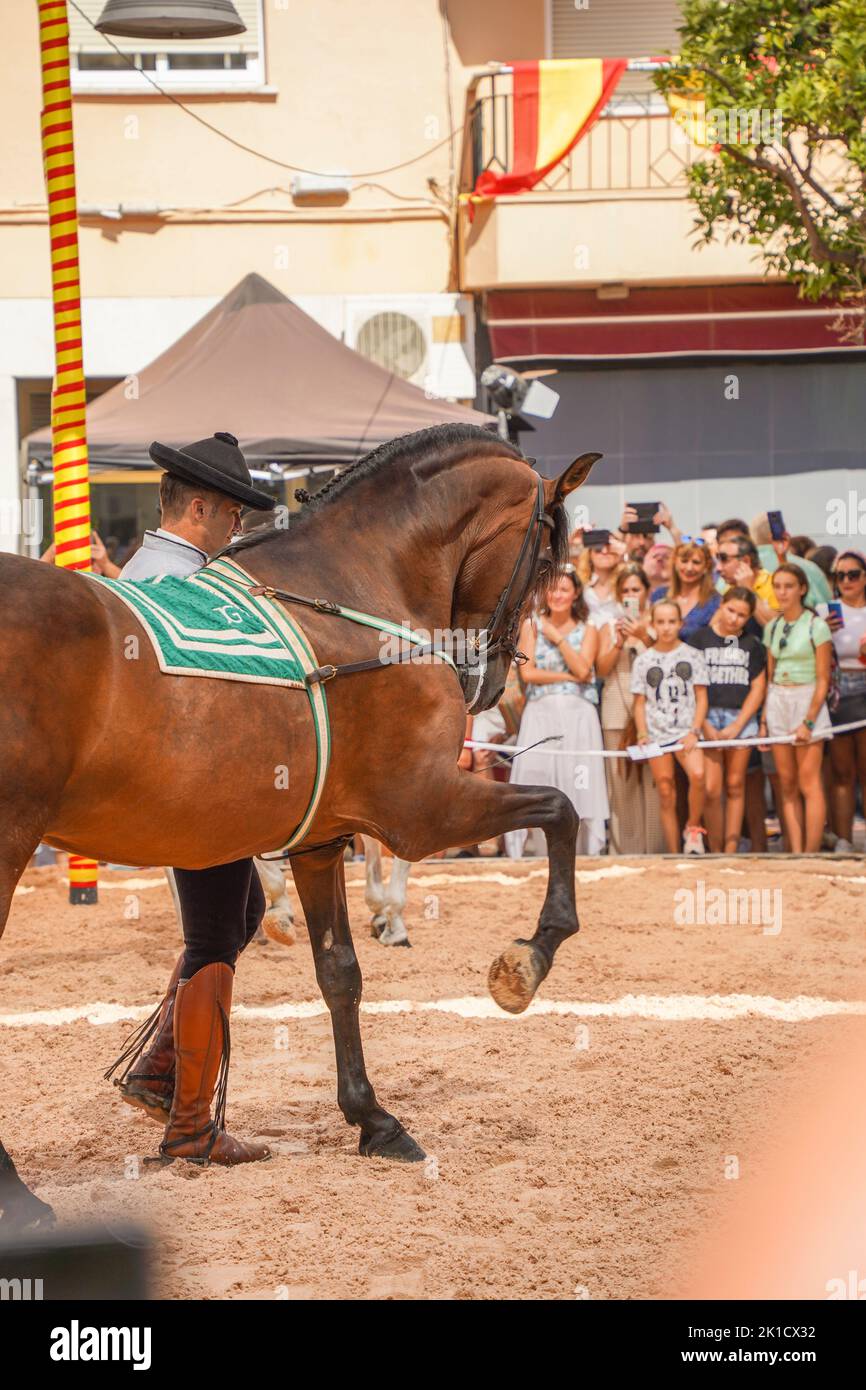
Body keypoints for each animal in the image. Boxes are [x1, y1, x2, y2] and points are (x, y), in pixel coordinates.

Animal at [0, 422, 598, 1228]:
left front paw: (374, 1121)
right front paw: (526, 961)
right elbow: (561, 813)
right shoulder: (421, 809)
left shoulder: (321, 840)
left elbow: (339, 974)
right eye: (545, 561)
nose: (492, 683)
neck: (354, 587)